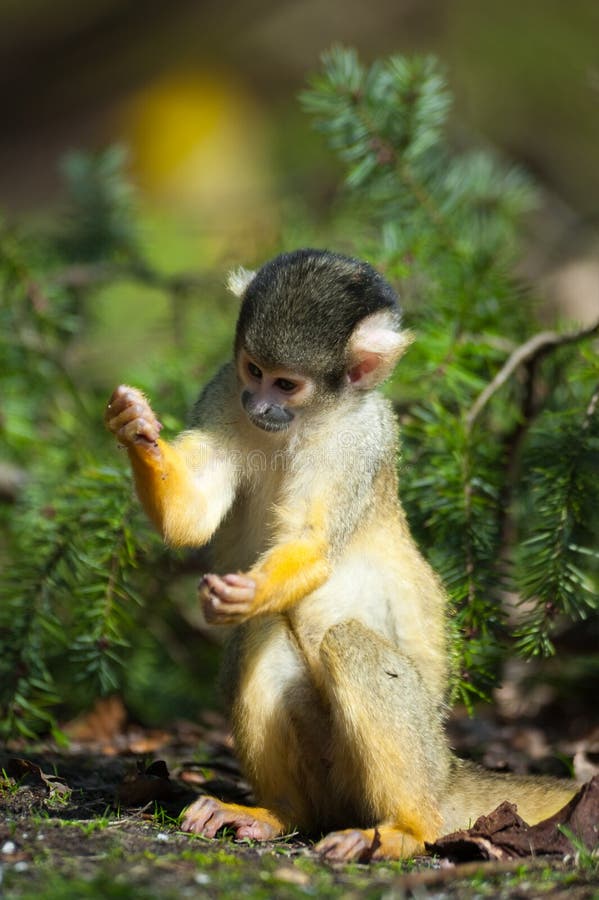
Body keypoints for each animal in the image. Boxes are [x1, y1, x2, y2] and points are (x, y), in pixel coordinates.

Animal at [105, 248, 577, 861]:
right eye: (254, 371)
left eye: (287, 384)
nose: (258, 404)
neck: (308, 419)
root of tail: (449, 772)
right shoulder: (221, 390)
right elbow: (195, 515)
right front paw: (135, 427)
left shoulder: (358, 440)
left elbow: (313, 542)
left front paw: (249, 591)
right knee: (261, 635)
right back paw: (278, 814)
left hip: (421, 756)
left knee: (351, 646)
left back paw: (406, 830)